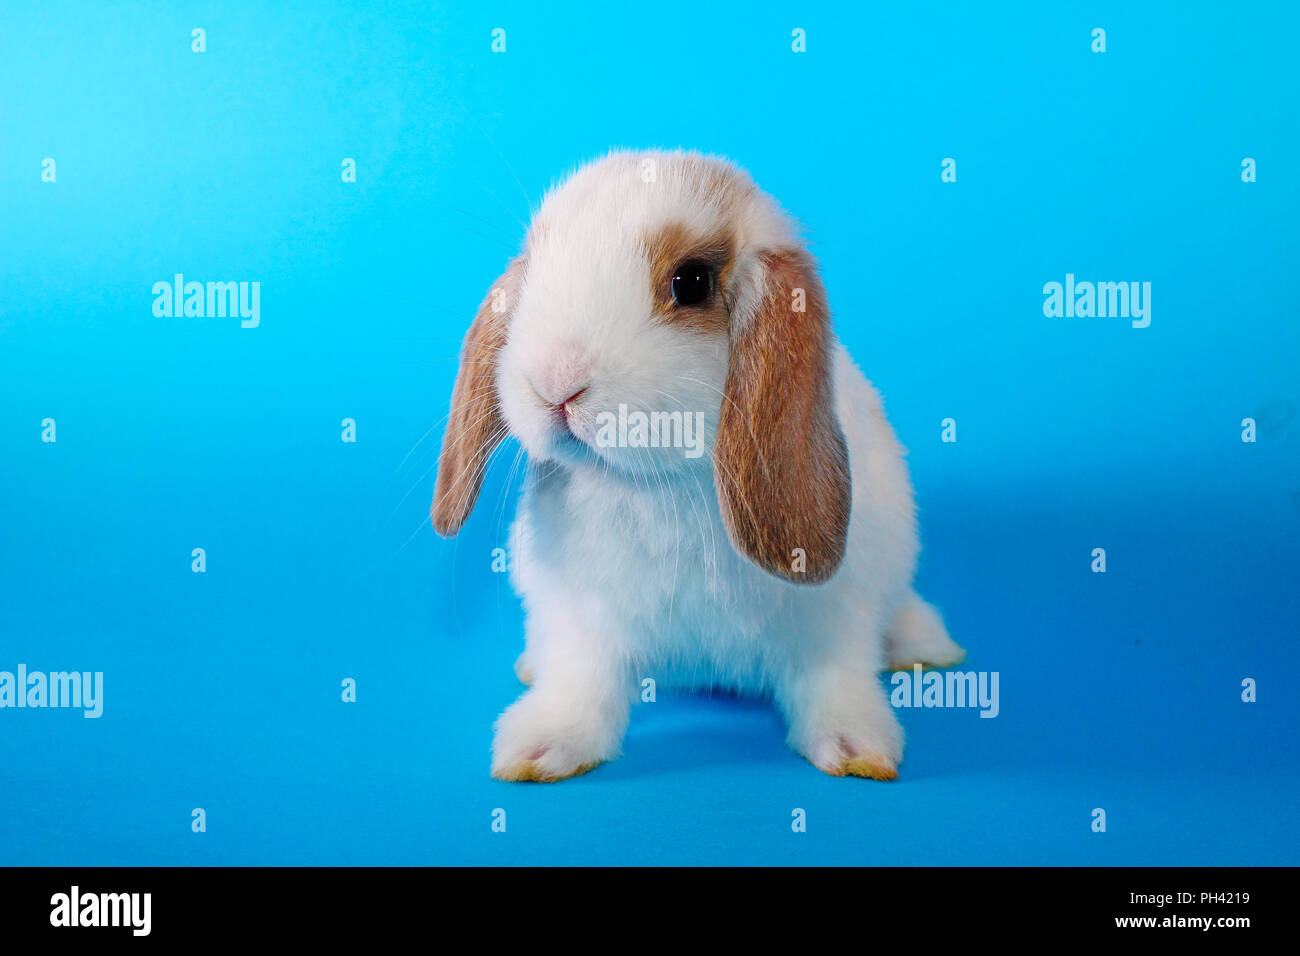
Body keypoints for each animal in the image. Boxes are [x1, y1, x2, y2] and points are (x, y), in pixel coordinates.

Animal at [431, 149, 964, 782]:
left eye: (691, 282)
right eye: (534, 268)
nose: (555, 381)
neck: (661, 484)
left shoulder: (835, 618)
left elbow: (834, 679)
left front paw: (857, 747)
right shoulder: (584, 620)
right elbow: (582, 684)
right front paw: (542, 747)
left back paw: (926, 647)